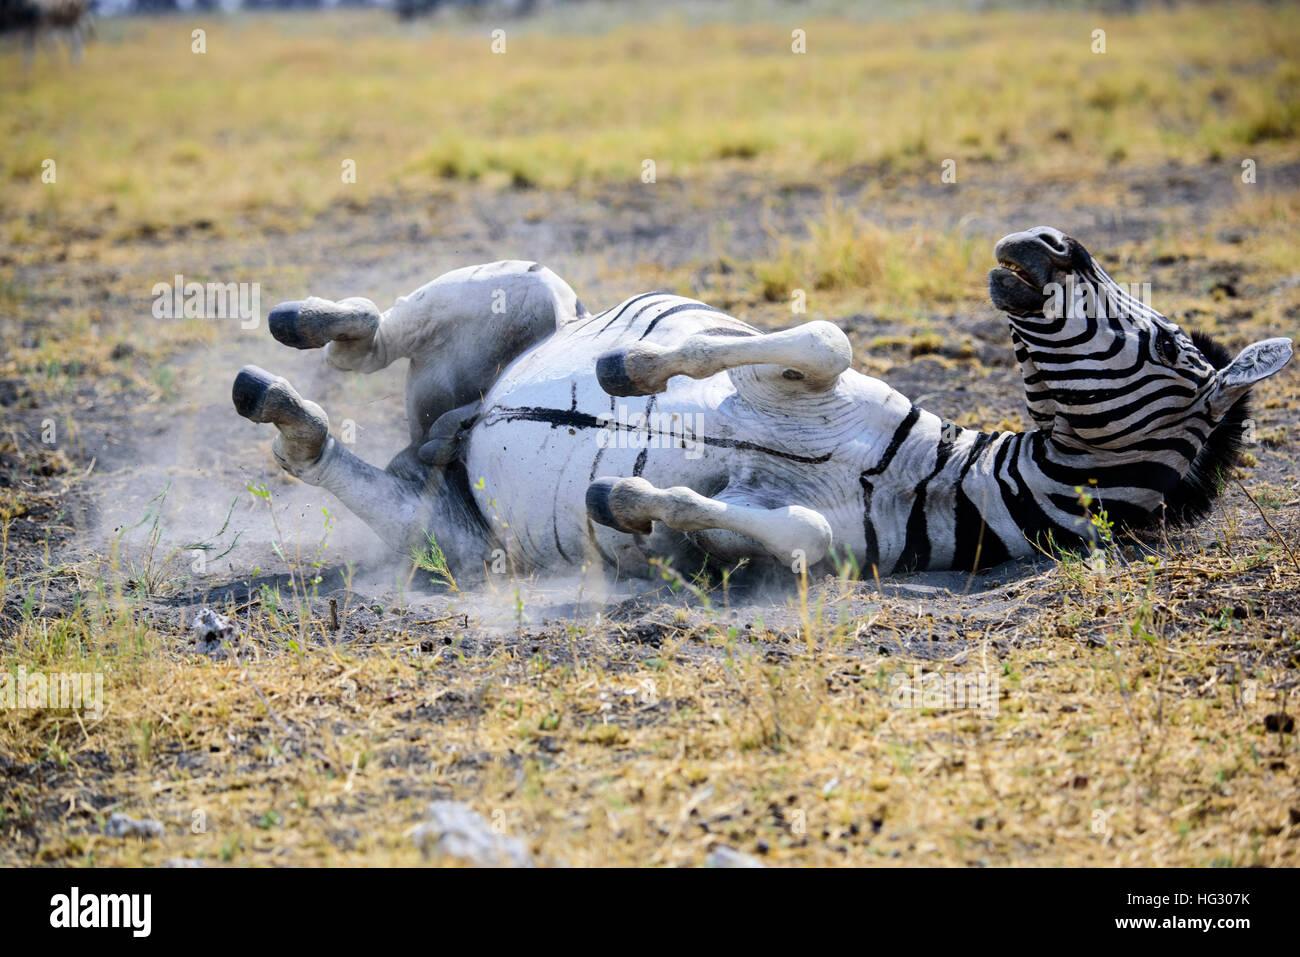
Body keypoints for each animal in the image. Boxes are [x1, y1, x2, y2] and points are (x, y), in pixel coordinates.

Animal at [231, 227, 1292, 584]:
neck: (925, 478)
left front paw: (635, 507)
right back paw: (301, 324)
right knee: (377, 334)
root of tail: (438, 440)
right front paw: (635, 368)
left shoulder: (799, 534)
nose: (1048, 238)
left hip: (454, 539)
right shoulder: (796, 375)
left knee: (327, 453)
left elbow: (798, 538)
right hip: (529, 297)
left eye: (1167, 345)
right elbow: (820, 337)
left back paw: (279, 403)